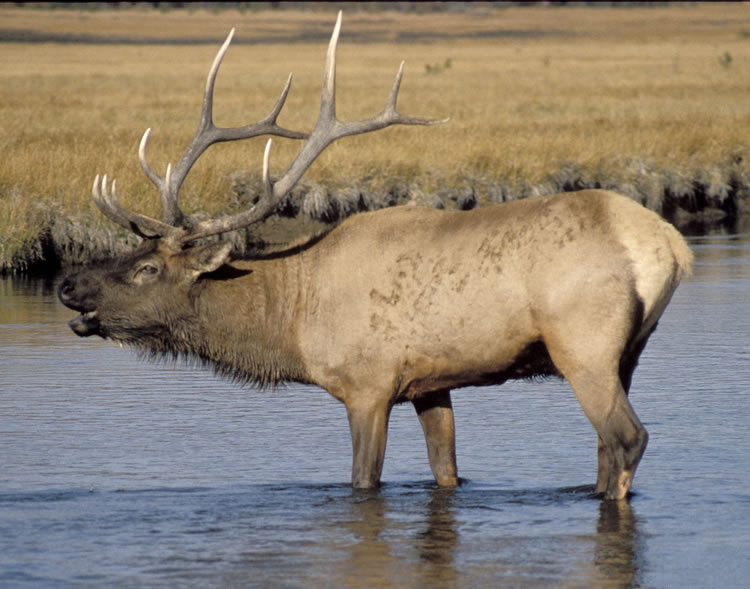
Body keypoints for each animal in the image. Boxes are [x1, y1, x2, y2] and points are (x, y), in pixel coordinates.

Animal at [58, 12, 693, 501]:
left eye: (147, 269)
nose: (67, 284)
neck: (293, 321)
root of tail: (670, 245)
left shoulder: (366, 384)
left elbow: (364, 482)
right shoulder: (431, 382)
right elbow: (446, 472)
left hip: (582, 343)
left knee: (626, 438)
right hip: (629, 351)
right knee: (605, 447)